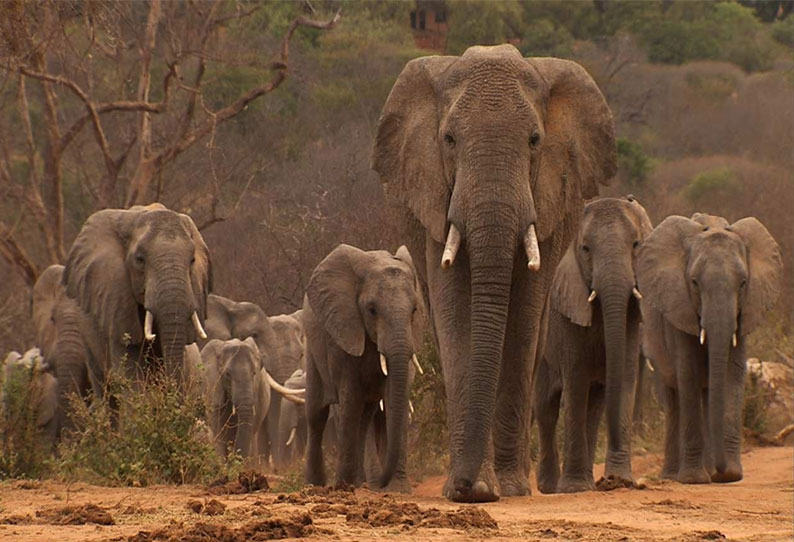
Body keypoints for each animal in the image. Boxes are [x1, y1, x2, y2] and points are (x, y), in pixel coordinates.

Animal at [303, 244, 424, 491]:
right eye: (371, 310)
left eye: (414, 310)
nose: (380, 484)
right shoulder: (342, 331)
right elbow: (350, 398)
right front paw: (342, 486)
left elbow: (392, 398)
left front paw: (398, 489)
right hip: (312, 348)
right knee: (316, 414)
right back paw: (316, 485)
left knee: (364, 417)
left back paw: (358, 484)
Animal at [372, 44, 617, 501]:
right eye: (449, 140)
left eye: (535, 140)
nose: (466, 486)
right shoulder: (437, 202)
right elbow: (455, 312)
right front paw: (474, 488)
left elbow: (521, 321)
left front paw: (505, 487)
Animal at [533, 196, 653, 493]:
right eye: (586, 249)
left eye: (636, 245)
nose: (608, 481)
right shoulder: (567, 318)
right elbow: (575, 384)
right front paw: (574, 488)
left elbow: (625, 379)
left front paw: (621, 481)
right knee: (546, 407)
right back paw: (550, 487)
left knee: (594, 407)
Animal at [636, 213, 782, 483]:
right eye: (694, 282)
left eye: (743, 283)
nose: (721, 471)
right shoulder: (678, 306)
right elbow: (688, 374)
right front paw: (694, 479)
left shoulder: (745, 311)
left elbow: (732, 375)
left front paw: (730, 475)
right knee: (674, 398)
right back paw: (673, 475)